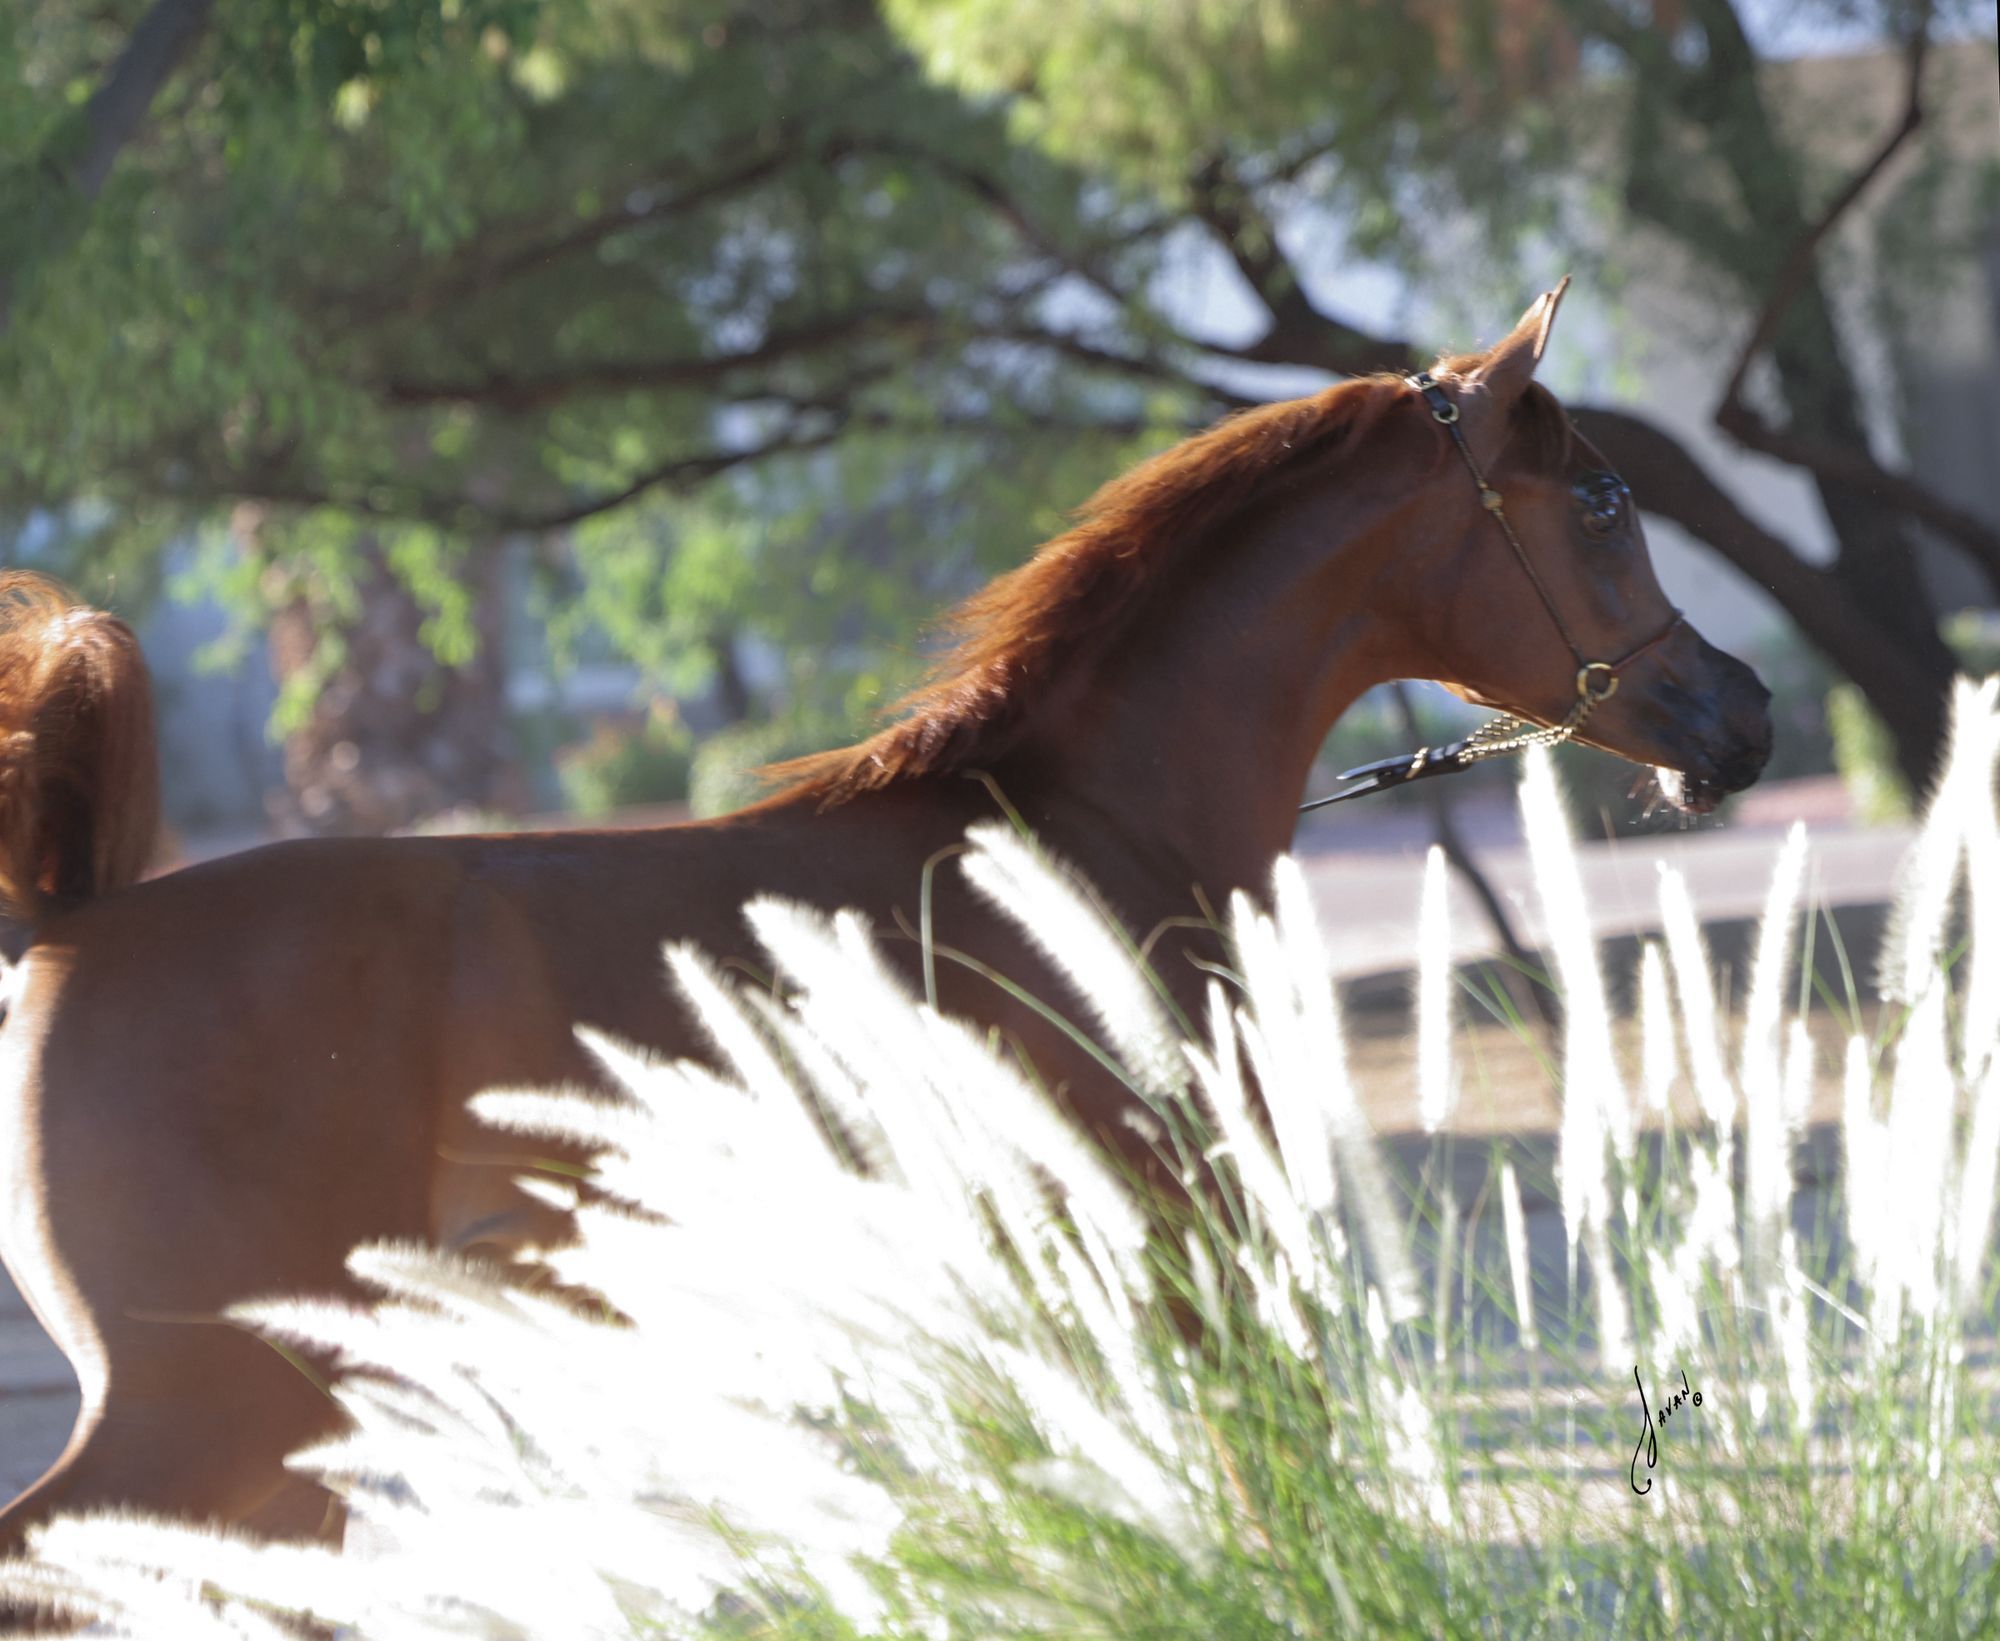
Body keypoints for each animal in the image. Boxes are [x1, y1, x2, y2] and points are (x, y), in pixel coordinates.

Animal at [0, 285, 1770, 1576]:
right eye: (1601, 497)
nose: (1740, 713)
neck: (1081, 819)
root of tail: (78, 925)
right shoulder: (1182, 1249)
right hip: (214, 1405)